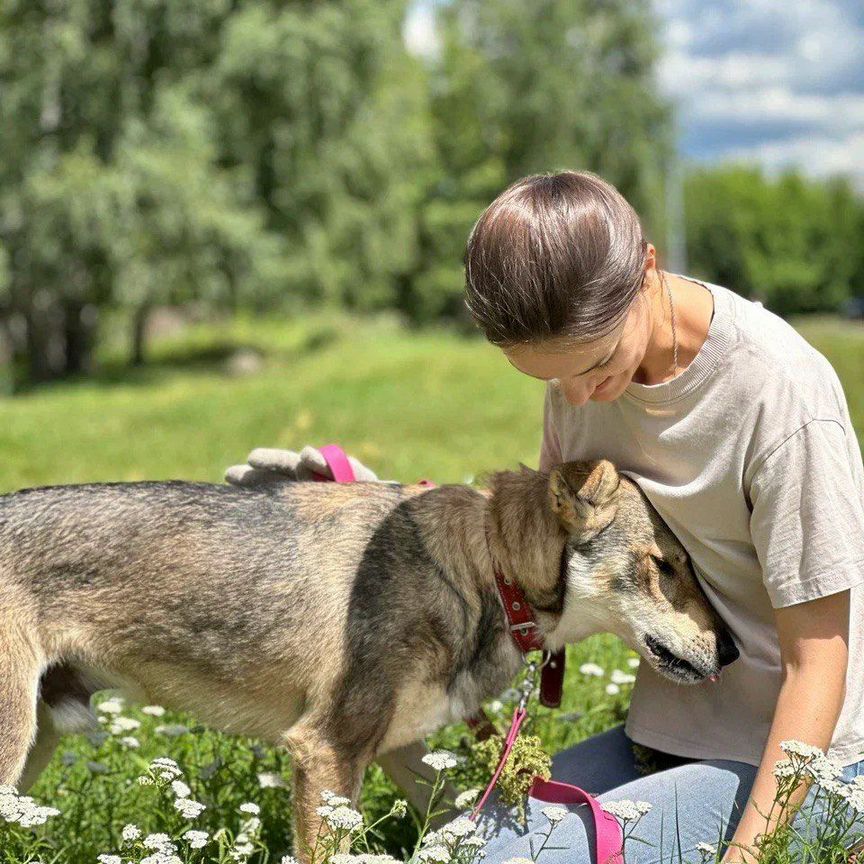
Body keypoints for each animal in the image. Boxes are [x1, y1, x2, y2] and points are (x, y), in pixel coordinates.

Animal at [1, 462, 736, 852]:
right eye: (666, 567)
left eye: (697, 567)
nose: (732, 650)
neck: (481, 567)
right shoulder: (327, 751)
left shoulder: (398, 749)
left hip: (31, 755)